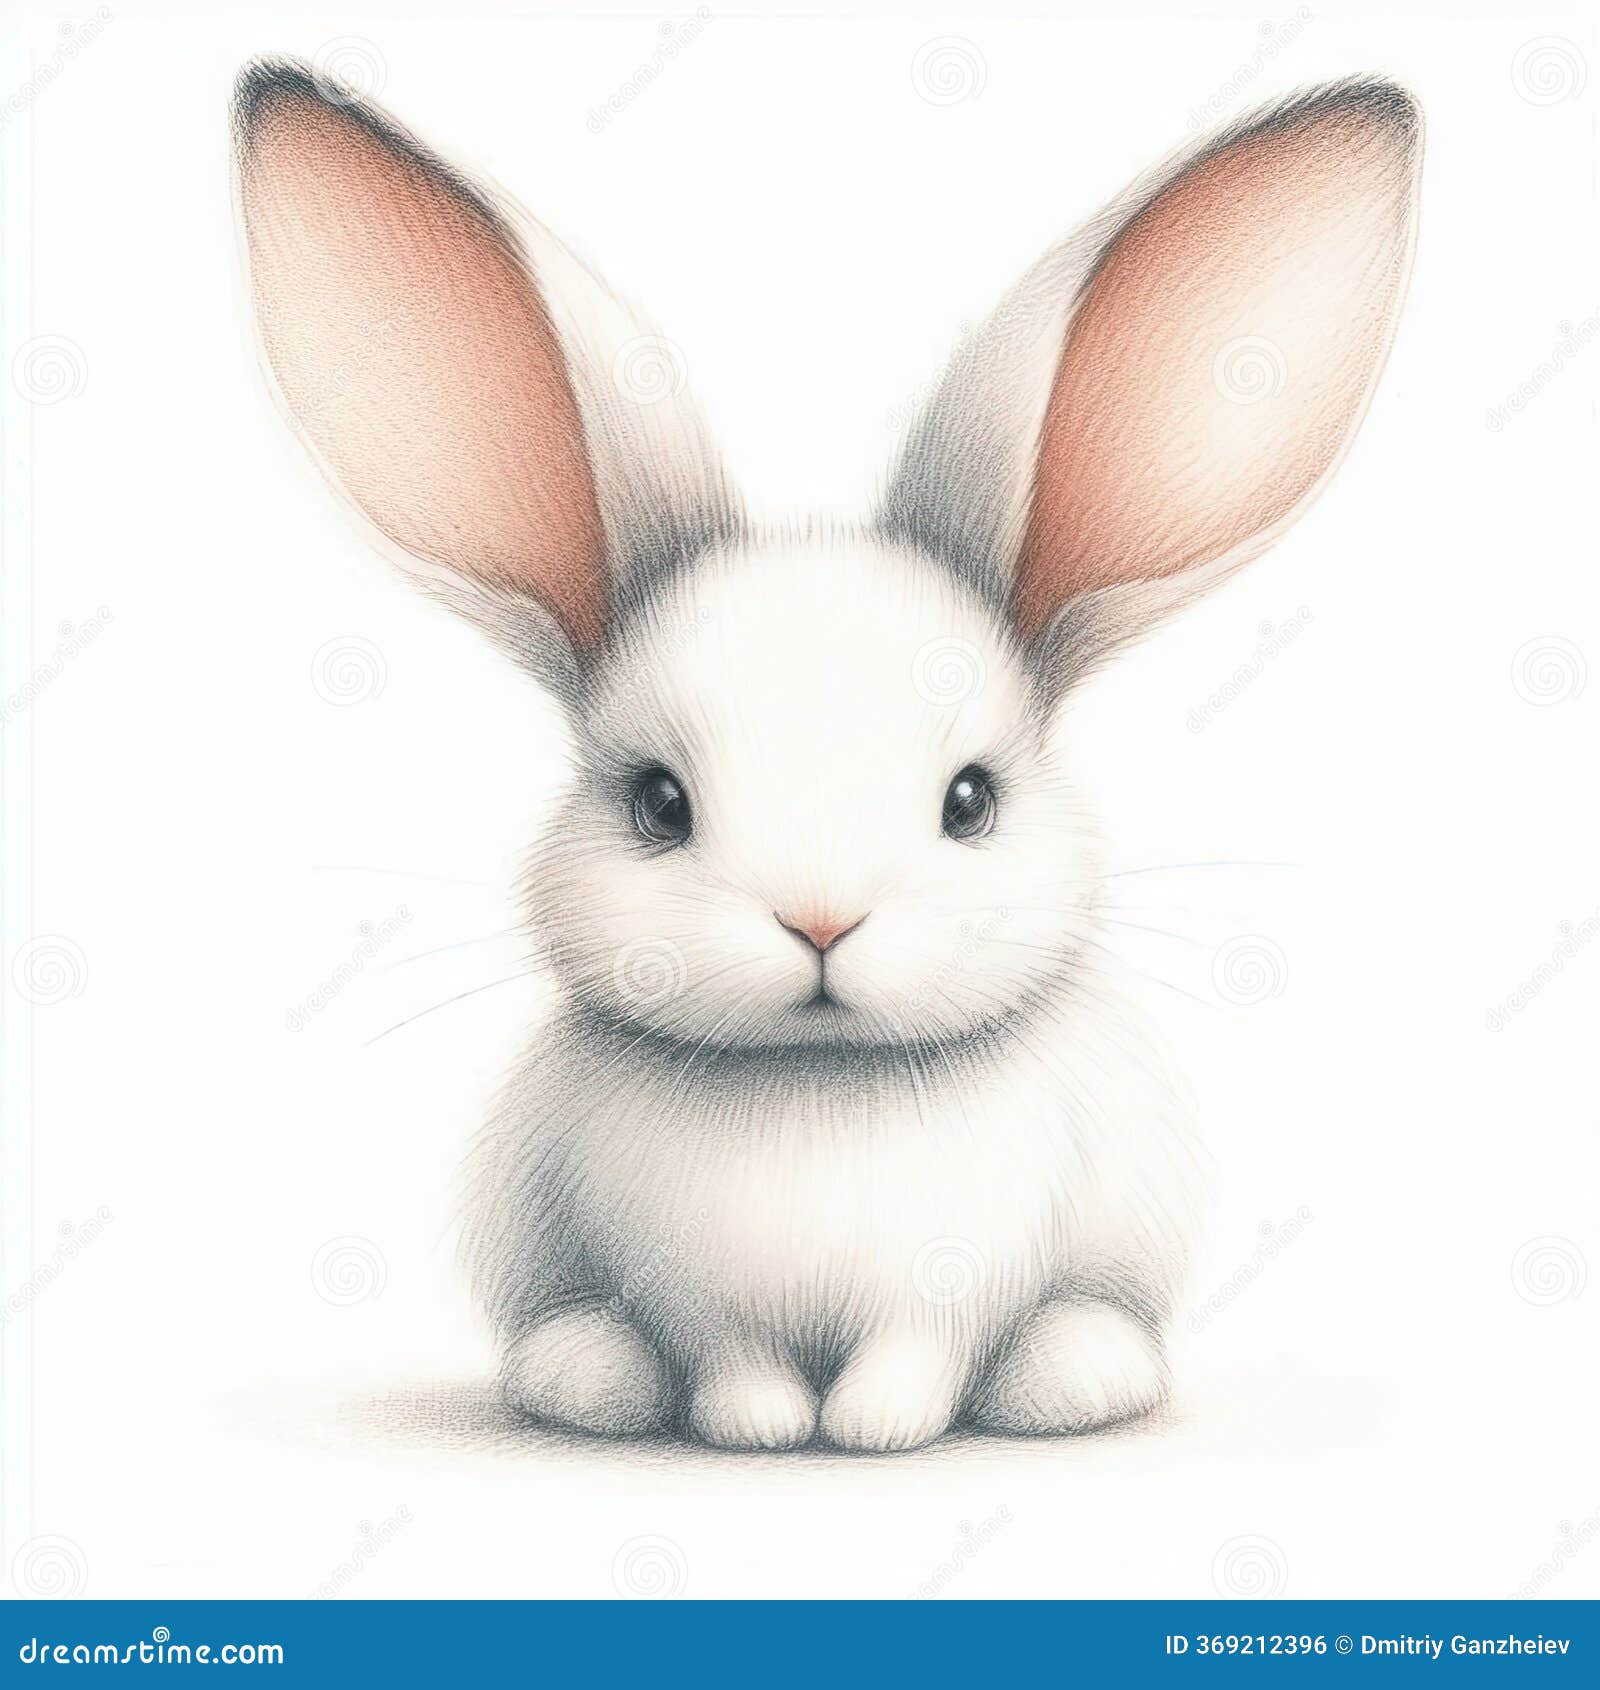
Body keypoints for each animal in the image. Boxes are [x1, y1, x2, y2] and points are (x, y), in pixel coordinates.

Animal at [233, 61, 1420, 1449]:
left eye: (970, 799)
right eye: (658, 802)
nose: (819, 921)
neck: (820, 1087)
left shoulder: (957, 1281)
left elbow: (916, 1352)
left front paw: (871, 1432)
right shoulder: (699, 1297)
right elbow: (733, 1354)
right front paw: (755, 1429)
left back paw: (1070, 1376)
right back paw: (589, 1376)